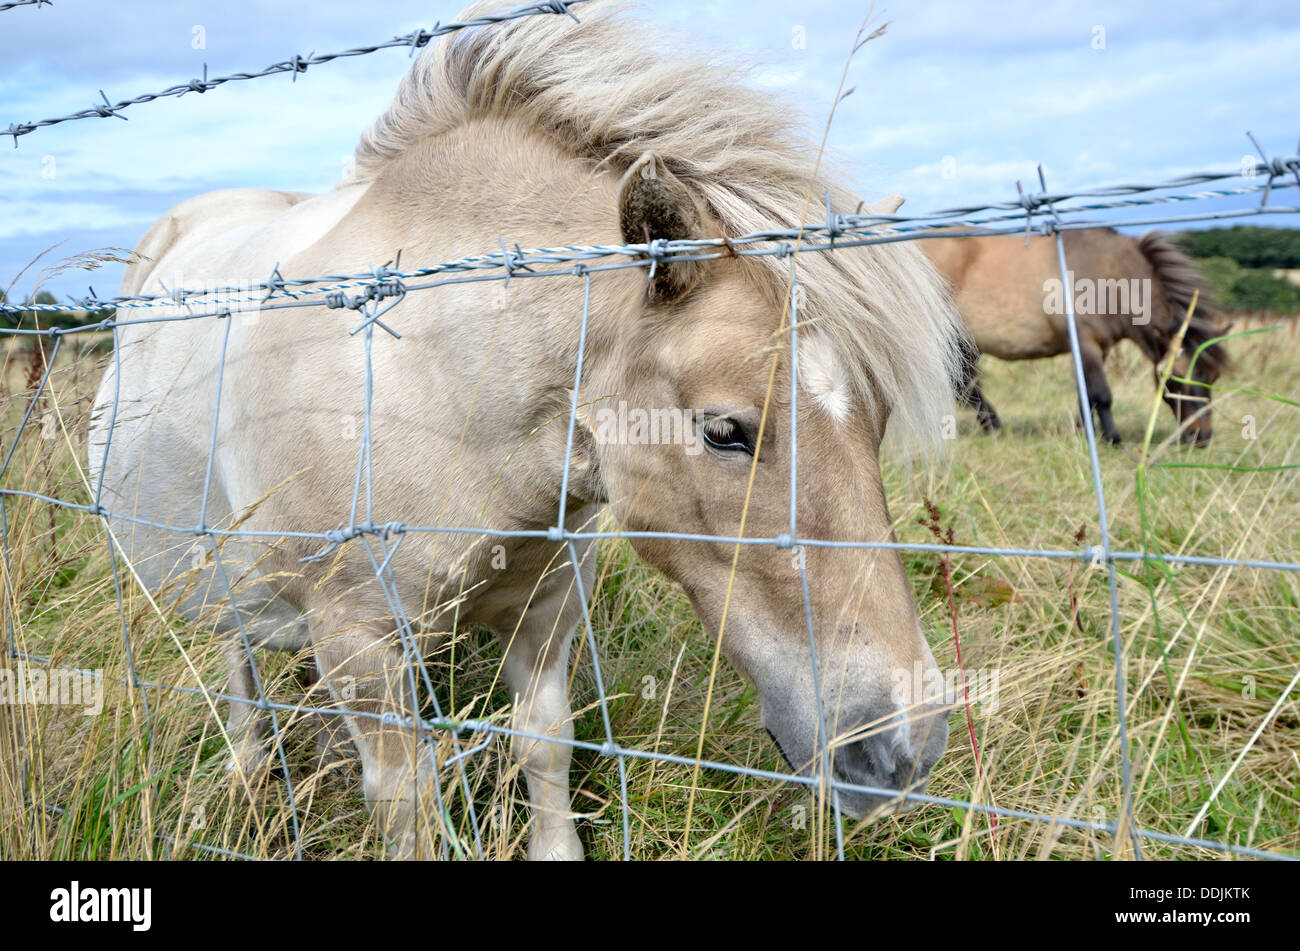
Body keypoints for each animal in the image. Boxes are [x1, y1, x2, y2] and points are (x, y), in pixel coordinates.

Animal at [86, 1, 964, 859]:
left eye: (879, 419)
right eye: (723, 430)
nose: (903, 749)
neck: (432, 382)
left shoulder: (545, 613)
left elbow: (544, 745)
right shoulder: (360, 646)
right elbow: (406, 803)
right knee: (236, 670)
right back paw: (247, 774)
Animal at [923, 229, 1229, 446]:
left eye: (1213, 377)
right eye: (1174, 379)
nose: (1202, 437)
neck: (1109, 277)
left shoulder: (1097, 350)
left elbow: (1087, 394)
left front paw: (1085, 432)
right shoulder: (1086, 345)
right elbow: (1101, 394)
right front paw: (1112, 438)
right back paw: (993, 427)